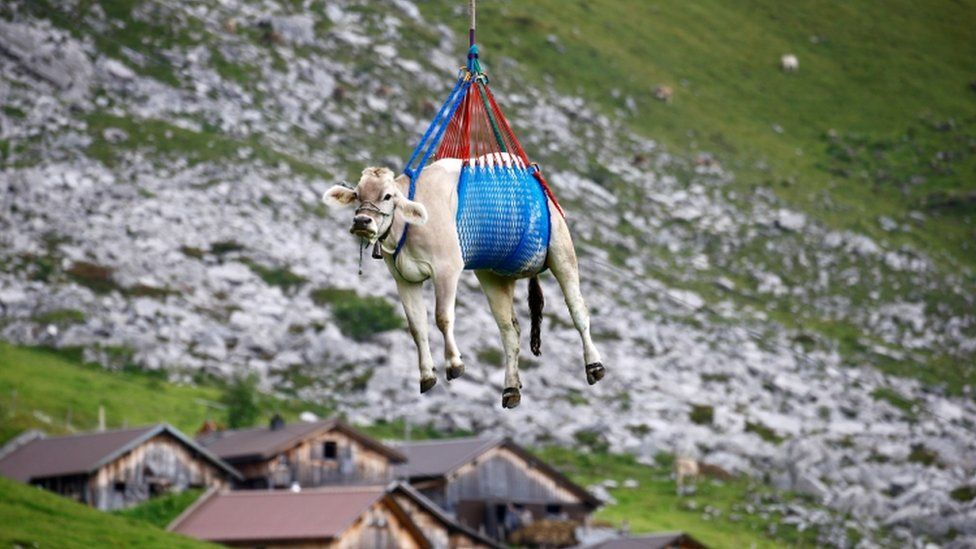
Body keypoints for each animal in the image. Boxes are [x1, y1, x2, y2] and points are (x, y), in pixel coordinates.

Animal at [323, 160, 605, 408]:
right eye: (357, 194)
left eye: (388, 196)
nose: (362, 222)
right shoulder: (404, 279)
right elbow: (417, 328)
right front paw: (427, 375)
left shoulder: (446, 269)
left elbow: (442, 317)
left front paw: (454, 364)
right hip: (493, 275)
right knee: (509, 331)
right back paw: (511, 389)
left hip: (561, 250)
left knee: (578, 311)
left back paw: (594, 365)